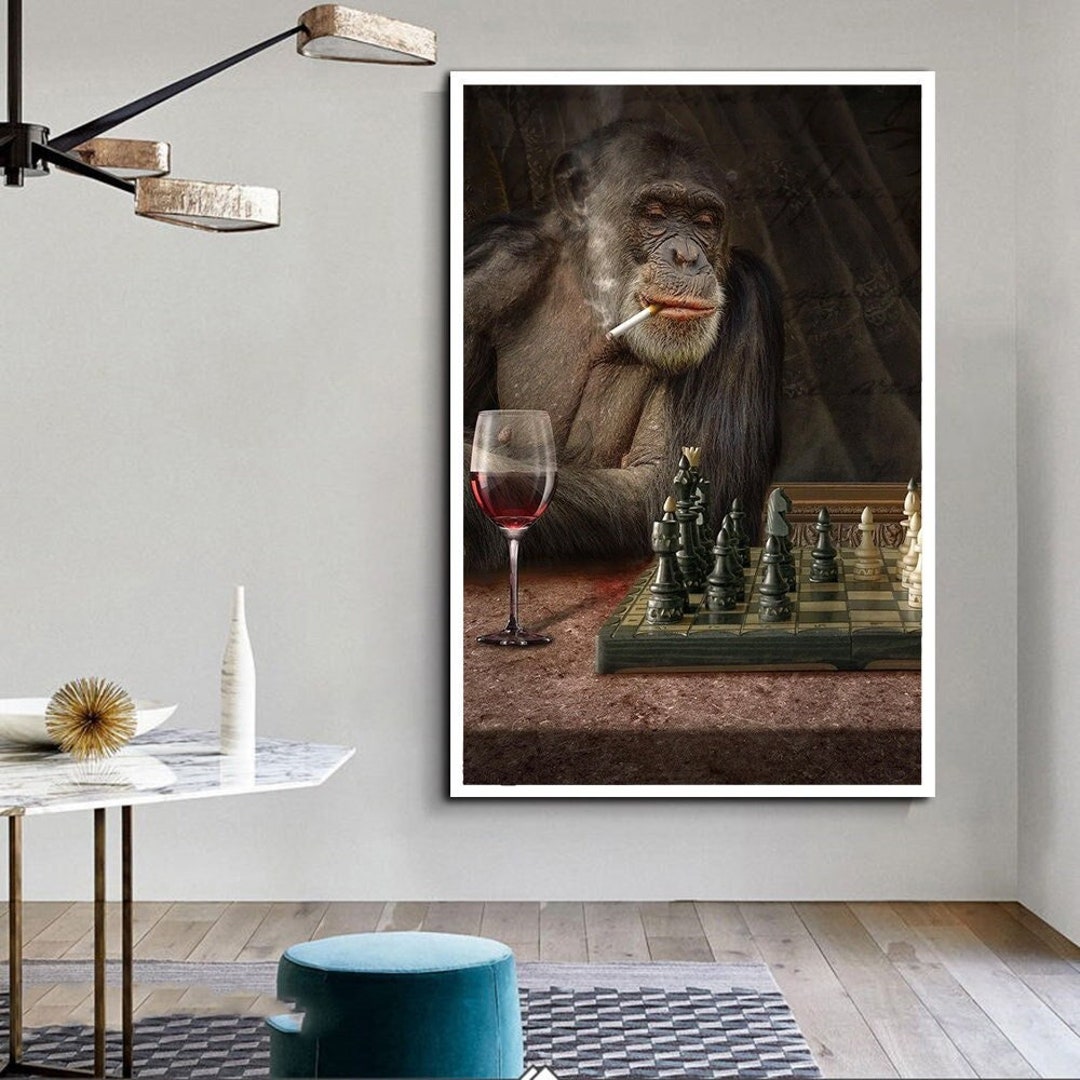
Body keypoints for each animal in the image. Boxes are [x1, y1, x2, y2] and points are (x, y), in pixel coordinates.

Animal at [463, 120, 783, 570]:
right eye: (655, 214)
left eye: (705, 221)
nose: (687, 256)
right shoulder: (486, 270)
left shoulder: (745, 305)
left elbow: (659, 486)